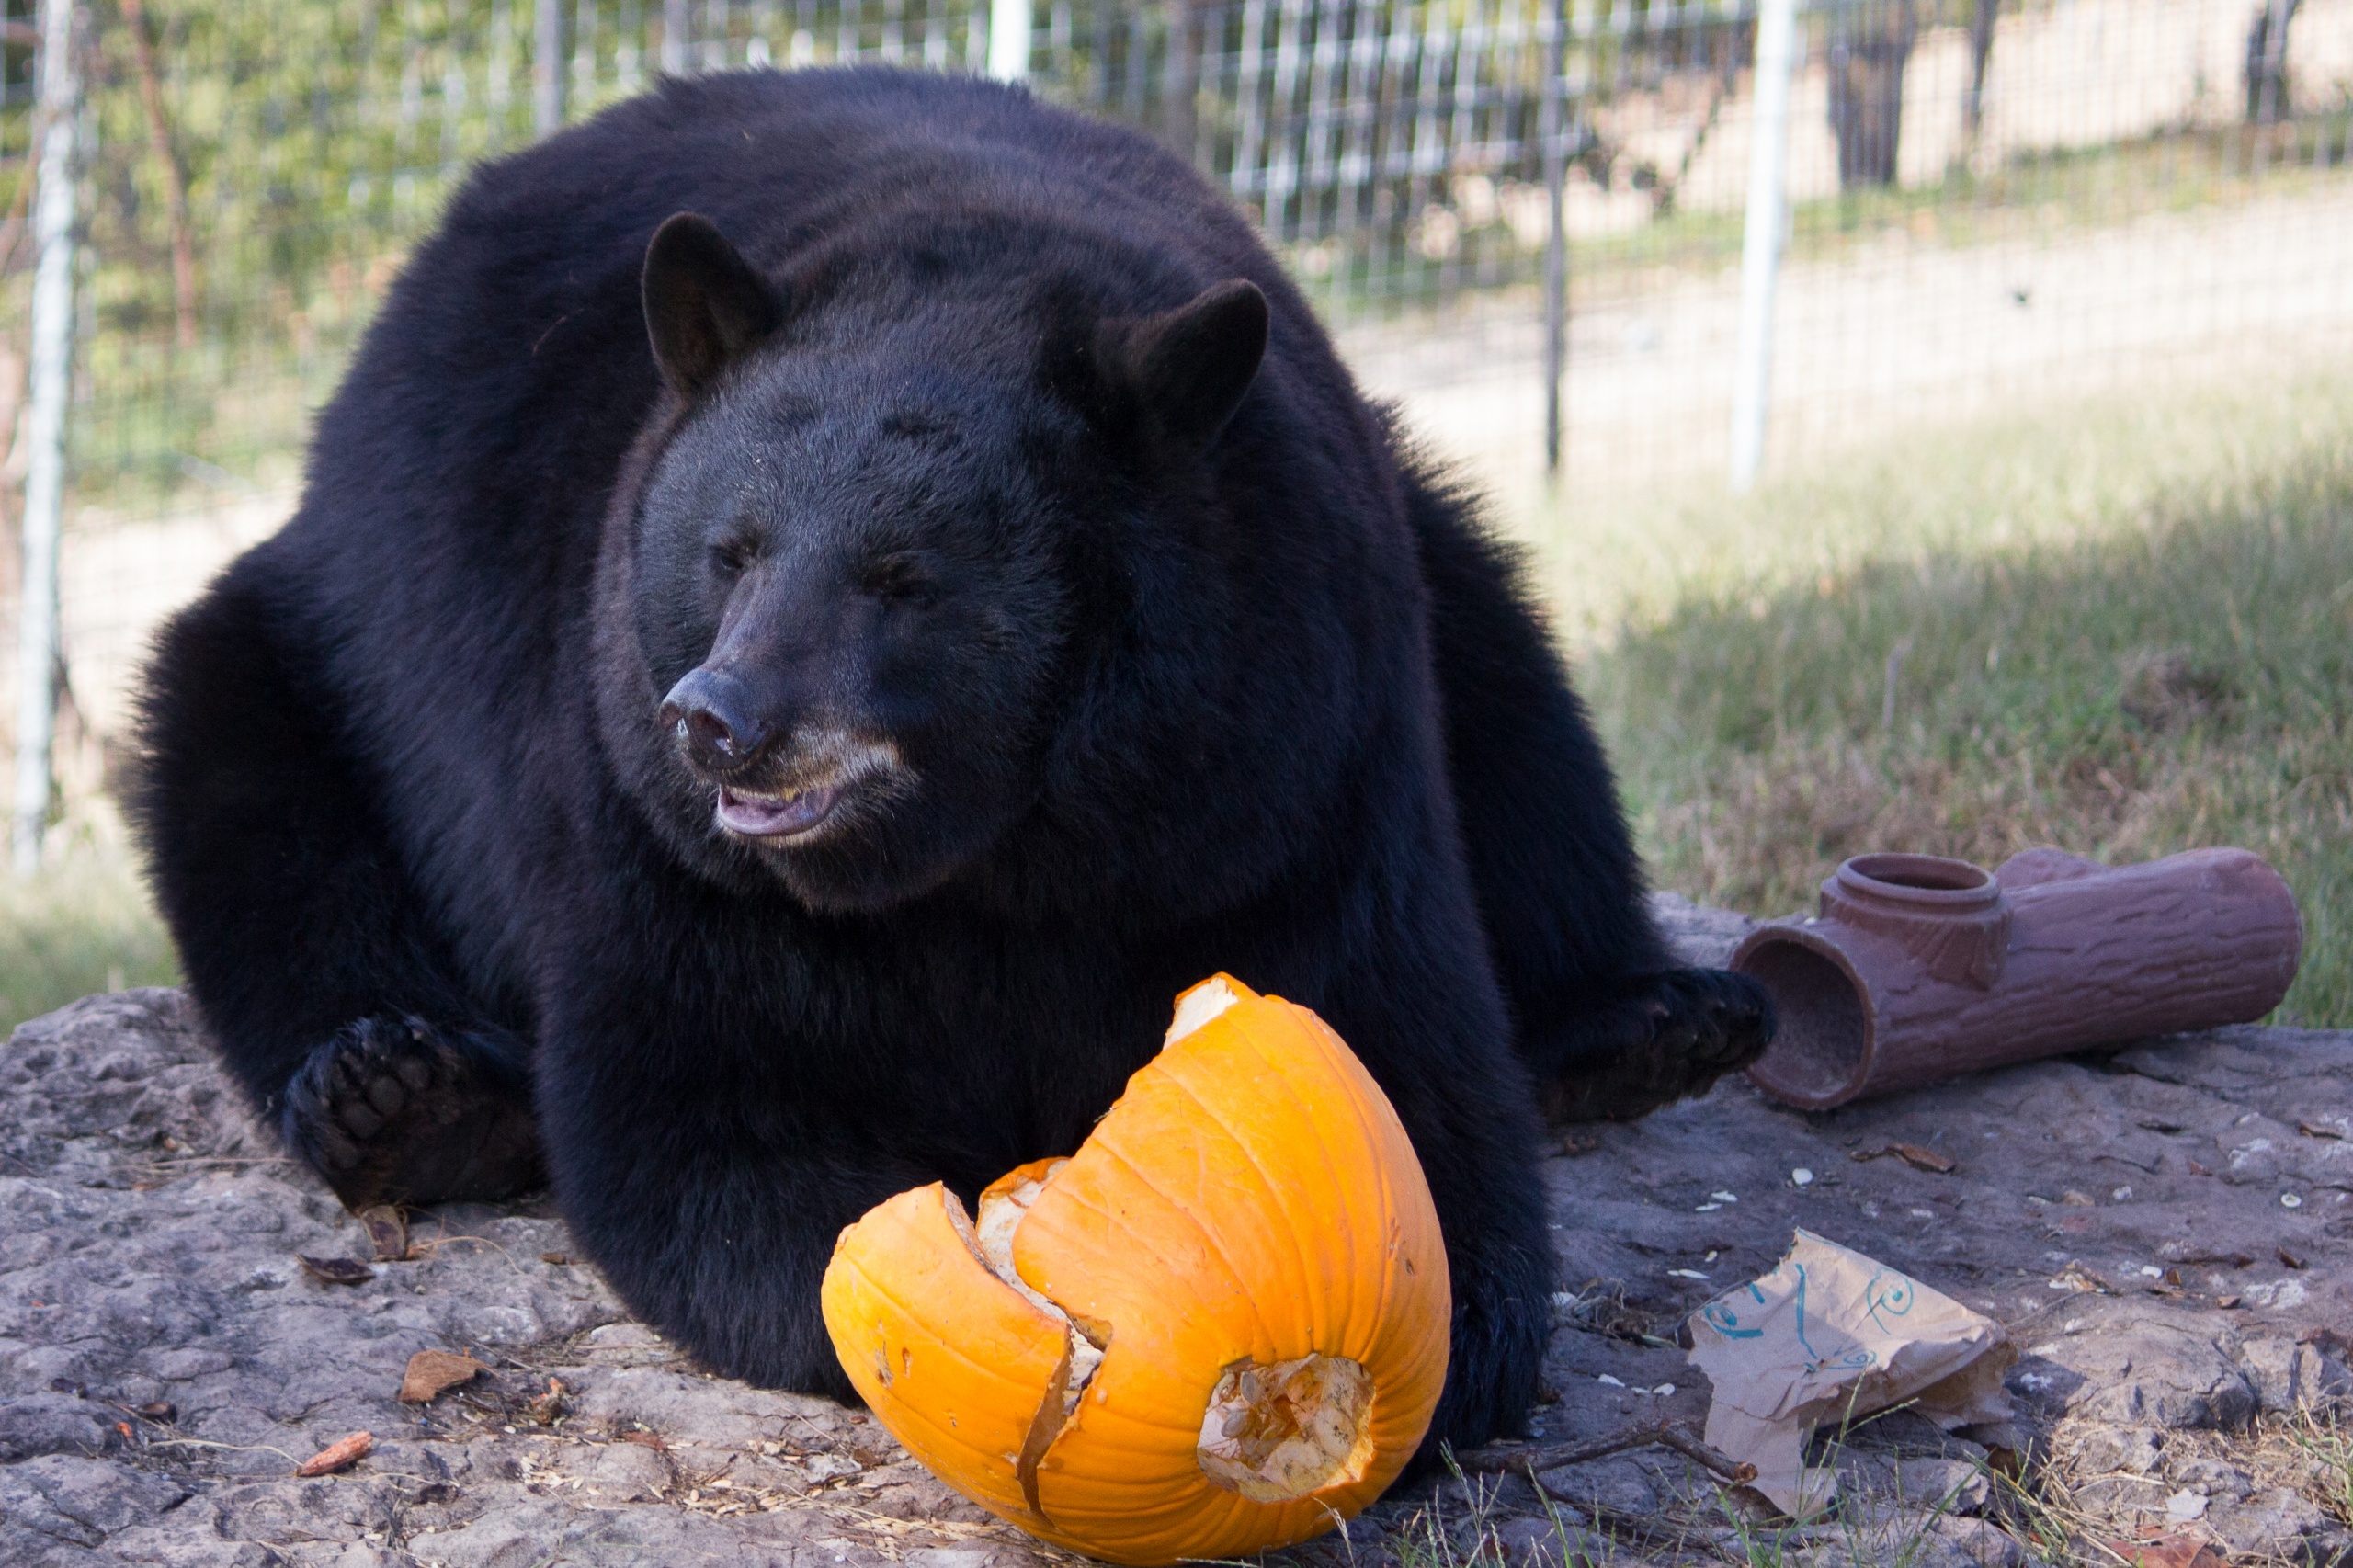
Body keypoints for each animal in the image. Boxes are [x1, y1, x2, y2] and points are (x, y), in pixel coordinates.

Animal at [130, 65, 1769, 1461]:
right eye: (731, 551)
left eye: (902, 578)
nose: (716, 715)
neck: (1000, 852)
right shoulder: (645, 818)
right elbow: (710, 1123)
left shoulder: (1290, 763)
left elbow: (1395, 1058)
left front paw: (1425, 1339)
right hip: (336, 650)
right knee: (246, 793)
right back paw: (401, 1089)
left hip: (1420, 572)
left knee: (1521, 708)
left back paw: (1656, 1018)